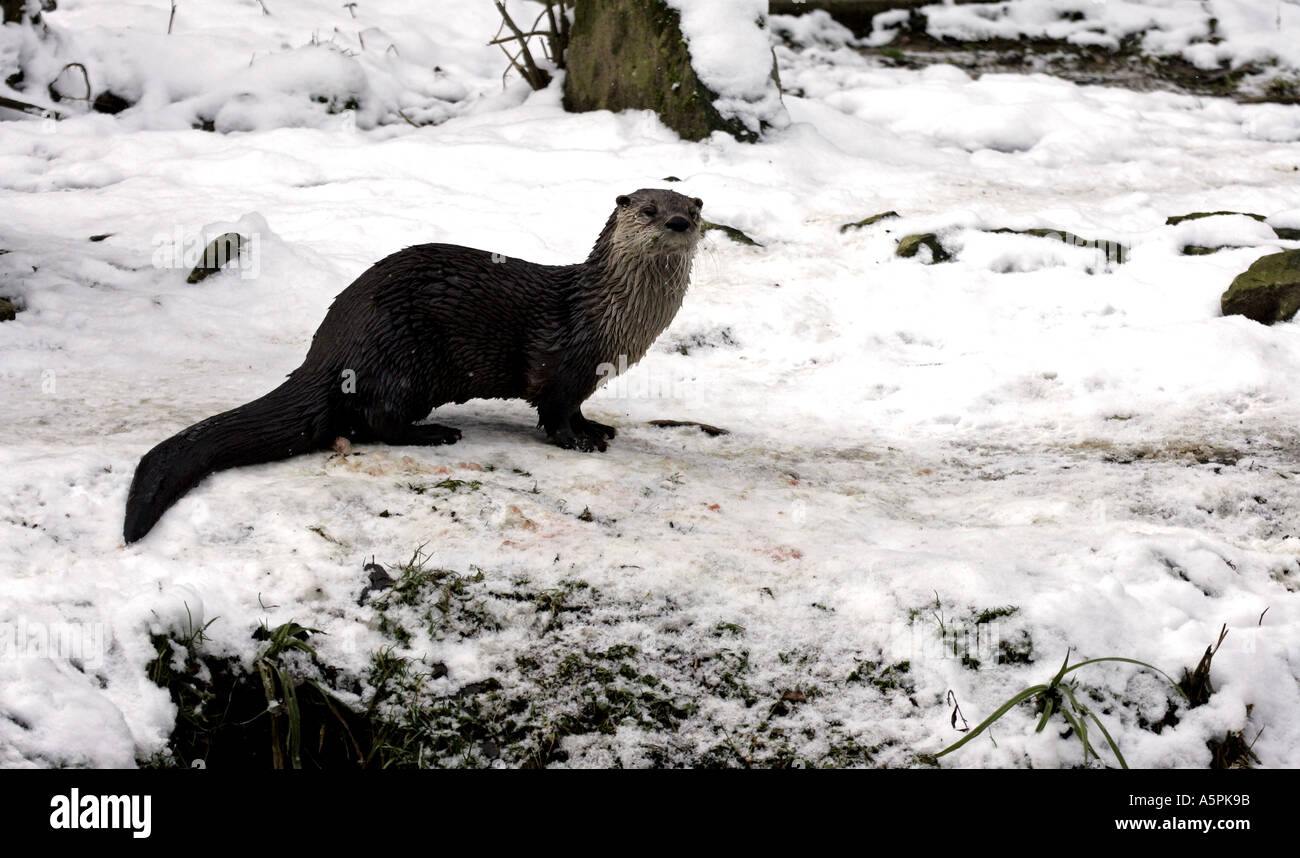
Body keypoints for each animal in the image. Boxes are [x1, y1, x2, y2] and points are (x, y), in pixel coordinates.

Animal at [123, 189, 704, 543]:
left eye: (692, 210)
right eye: (648, 209)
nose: (678, 221)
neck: (610, 317)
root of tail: (327, 350)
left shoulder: (588, 374)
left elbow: (579, 408)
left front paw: (597, 428)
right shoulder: (562, 363)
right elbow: (555, 412)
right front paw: (578, 442)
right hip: (401, 361)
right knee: (380, 421)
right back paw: (436, 434)